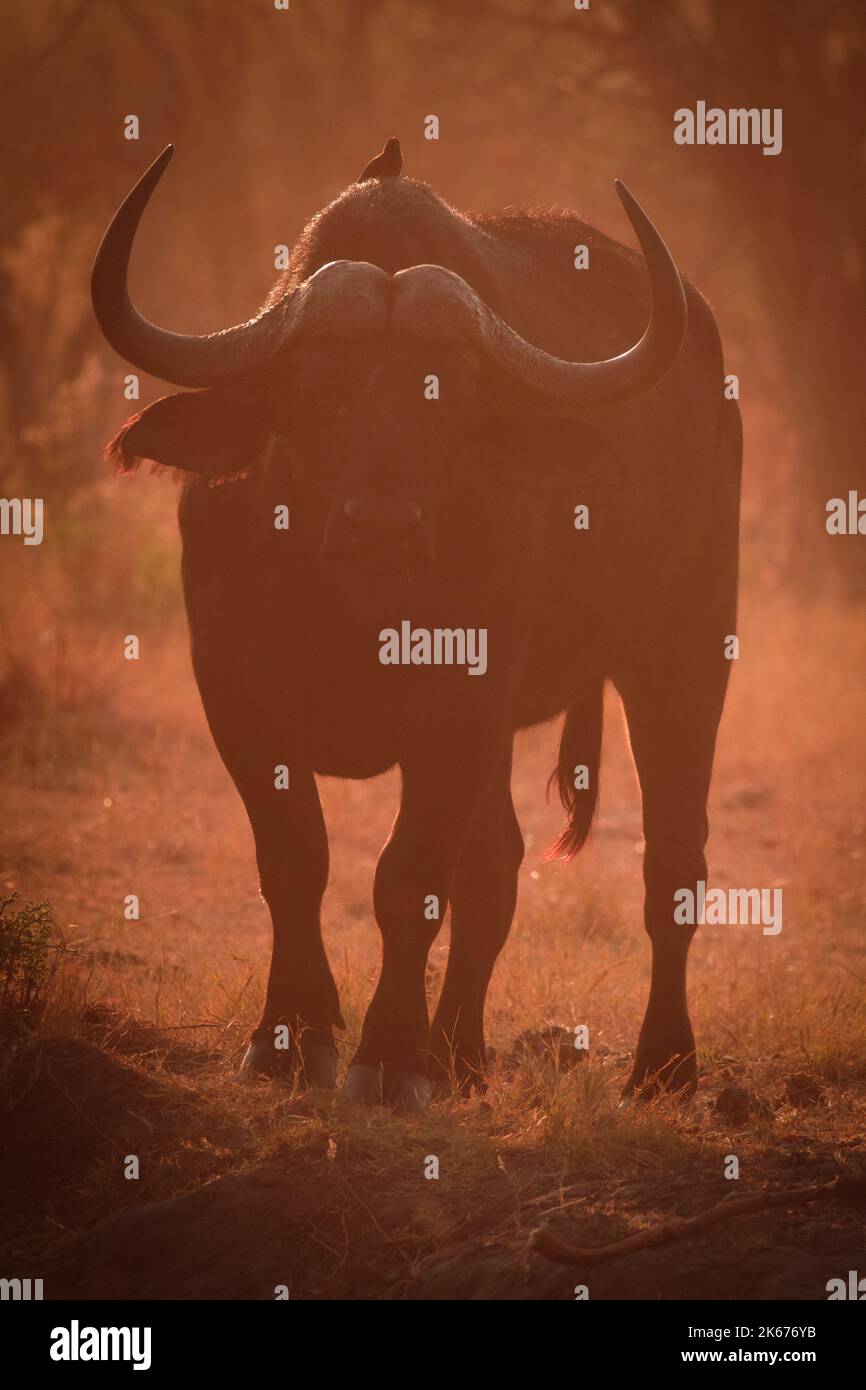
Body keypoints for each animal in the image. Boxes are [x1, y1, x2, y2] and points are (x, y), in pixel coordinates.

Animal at [92, 138, 741, 1111]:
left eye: (450, 397)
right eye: (317, 386)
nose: (381, 526)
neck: (351, 607)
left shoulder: (464, 708)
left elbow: (409, 878)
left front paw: (387, 1058)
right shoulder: (233, 693)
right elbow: (295, 861)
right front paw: (291, 1040)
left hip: (686, 650)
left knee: (672, 863)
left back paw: (661, 1067)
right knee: (499, 869)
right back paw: (458, 1058)